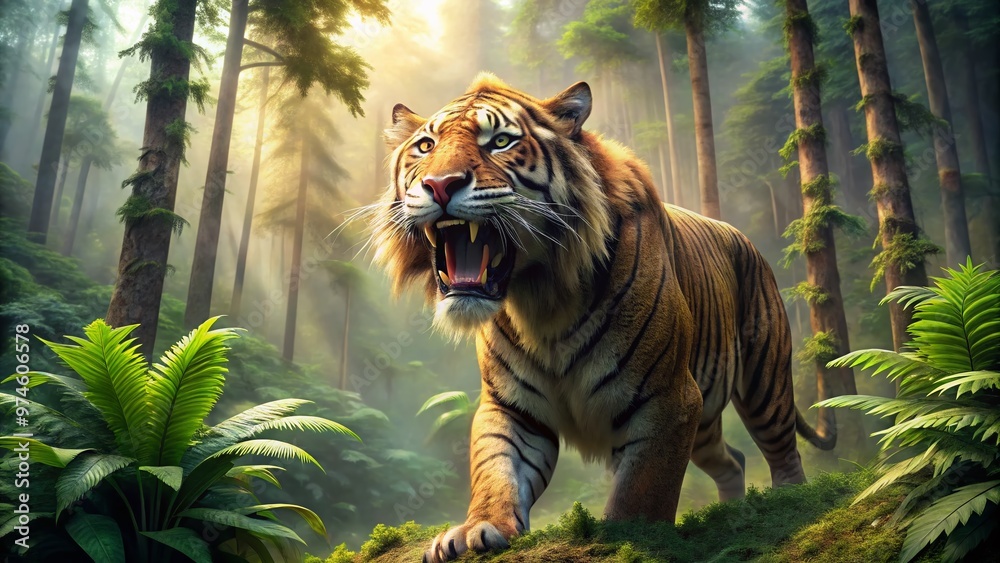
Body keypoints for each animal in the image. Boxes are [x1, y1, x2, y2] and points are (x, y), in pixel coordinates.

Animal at [370, 73, 835, 563]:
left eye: (499, 142)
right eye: (425, 146)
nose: (440, 185)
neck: (541, 301)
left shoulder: (668, 401)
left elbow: (641, 493)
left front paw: (624, 538)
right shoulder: (512, 406)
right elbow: (496, 468)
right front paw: (477, 529)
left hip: (764, 382)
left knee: (782, 448)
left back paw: (789, 500)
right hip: (705, 423)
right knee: (733, 460)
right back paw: (731, 514)